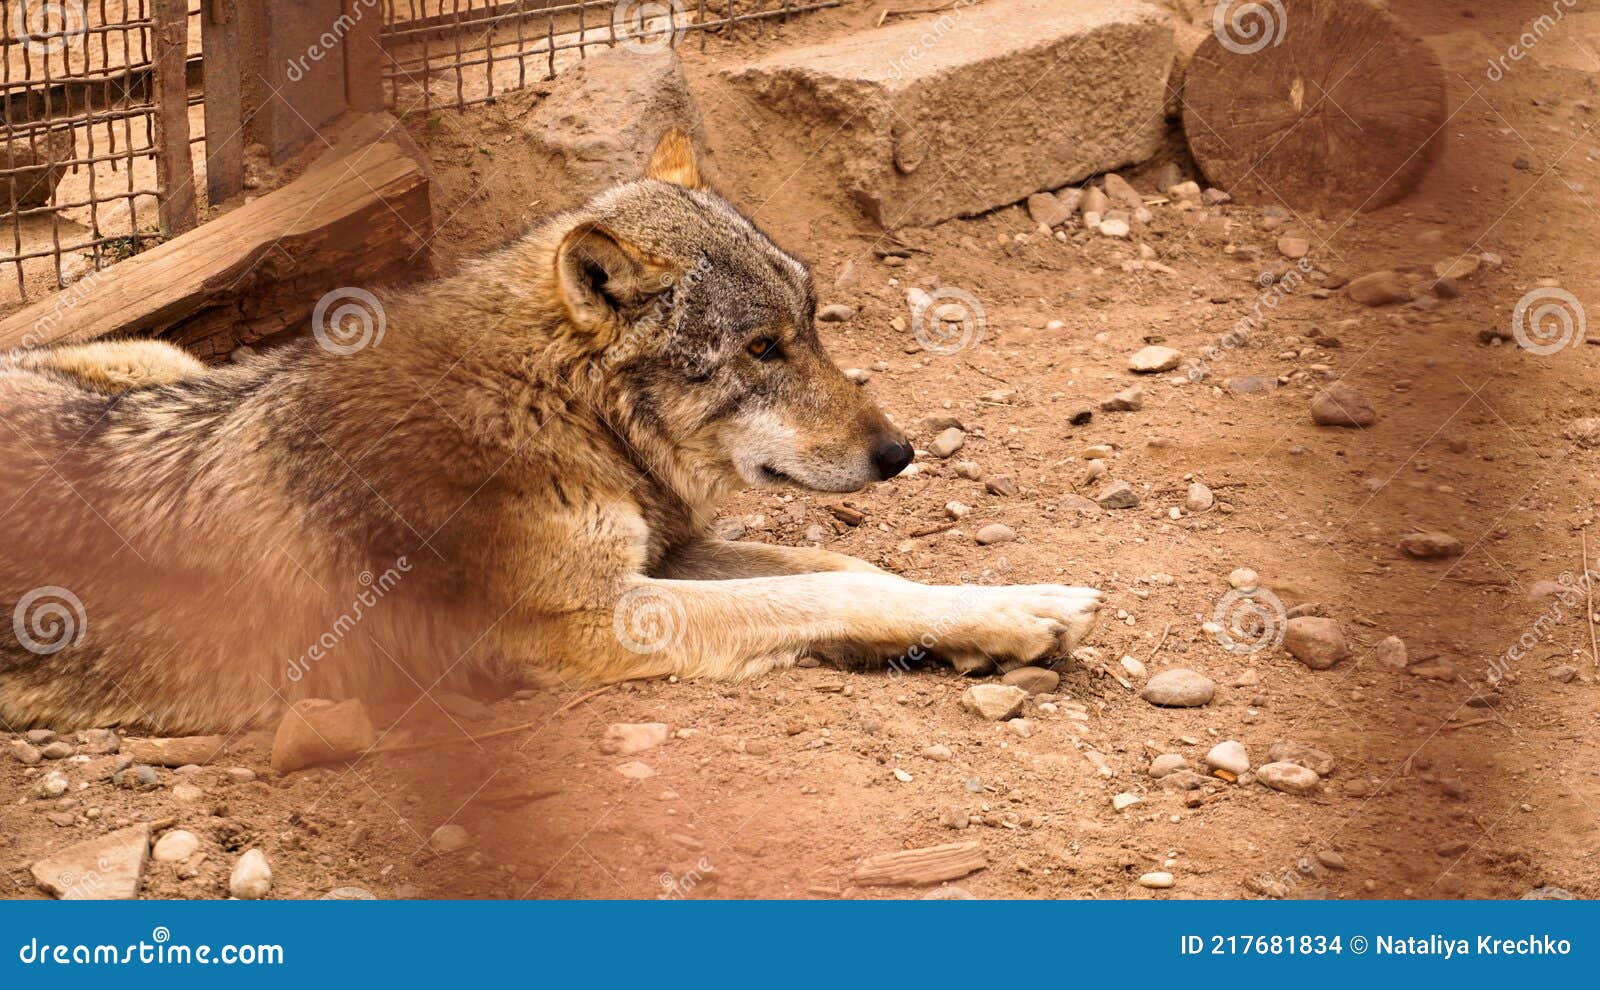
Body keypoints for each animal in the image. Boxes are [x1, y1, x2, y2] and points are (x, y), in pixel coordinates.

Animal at [0, 129, 1100, 734]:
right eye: (762, 348)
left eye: (814, 322)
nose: (898, 453)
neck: (554, 411)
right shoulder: (589, 621)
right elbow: (822, 593)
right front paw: (1013, 616)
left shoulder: (664, 554)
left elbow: (857, 573)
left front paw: (1000, 610)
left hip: (167, 362)